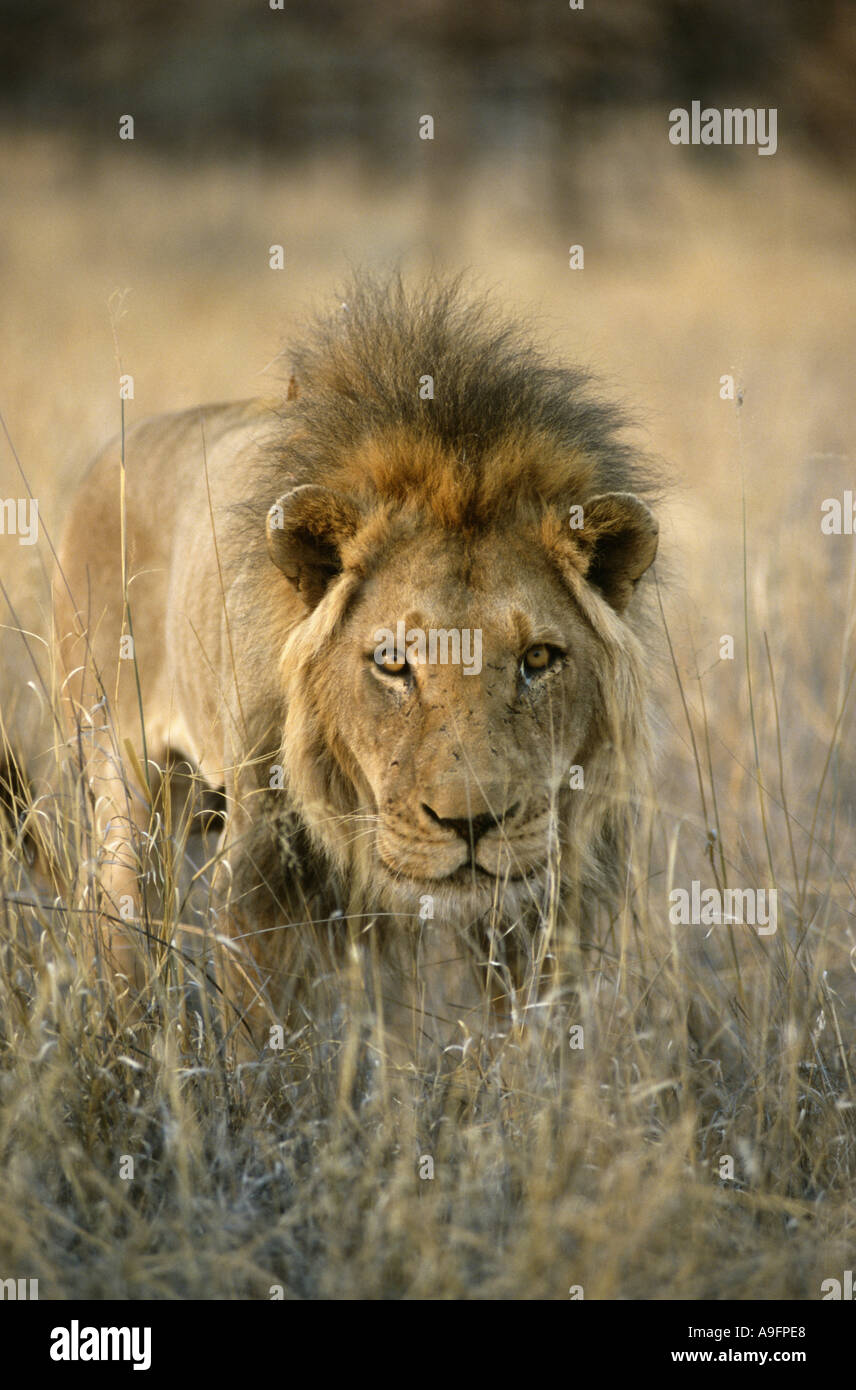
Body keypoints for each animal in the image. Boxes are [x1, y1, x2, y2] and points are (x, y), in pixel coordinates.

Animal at [53, 275, 660, 1056]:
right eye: (393, 664)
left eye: (538, 659)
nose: (472, 823)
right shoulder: (264, 869)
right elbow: (265, 1039)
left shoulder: (548, 894)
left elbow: (532, 1037)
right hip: (124, 792)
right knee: (122, 934)